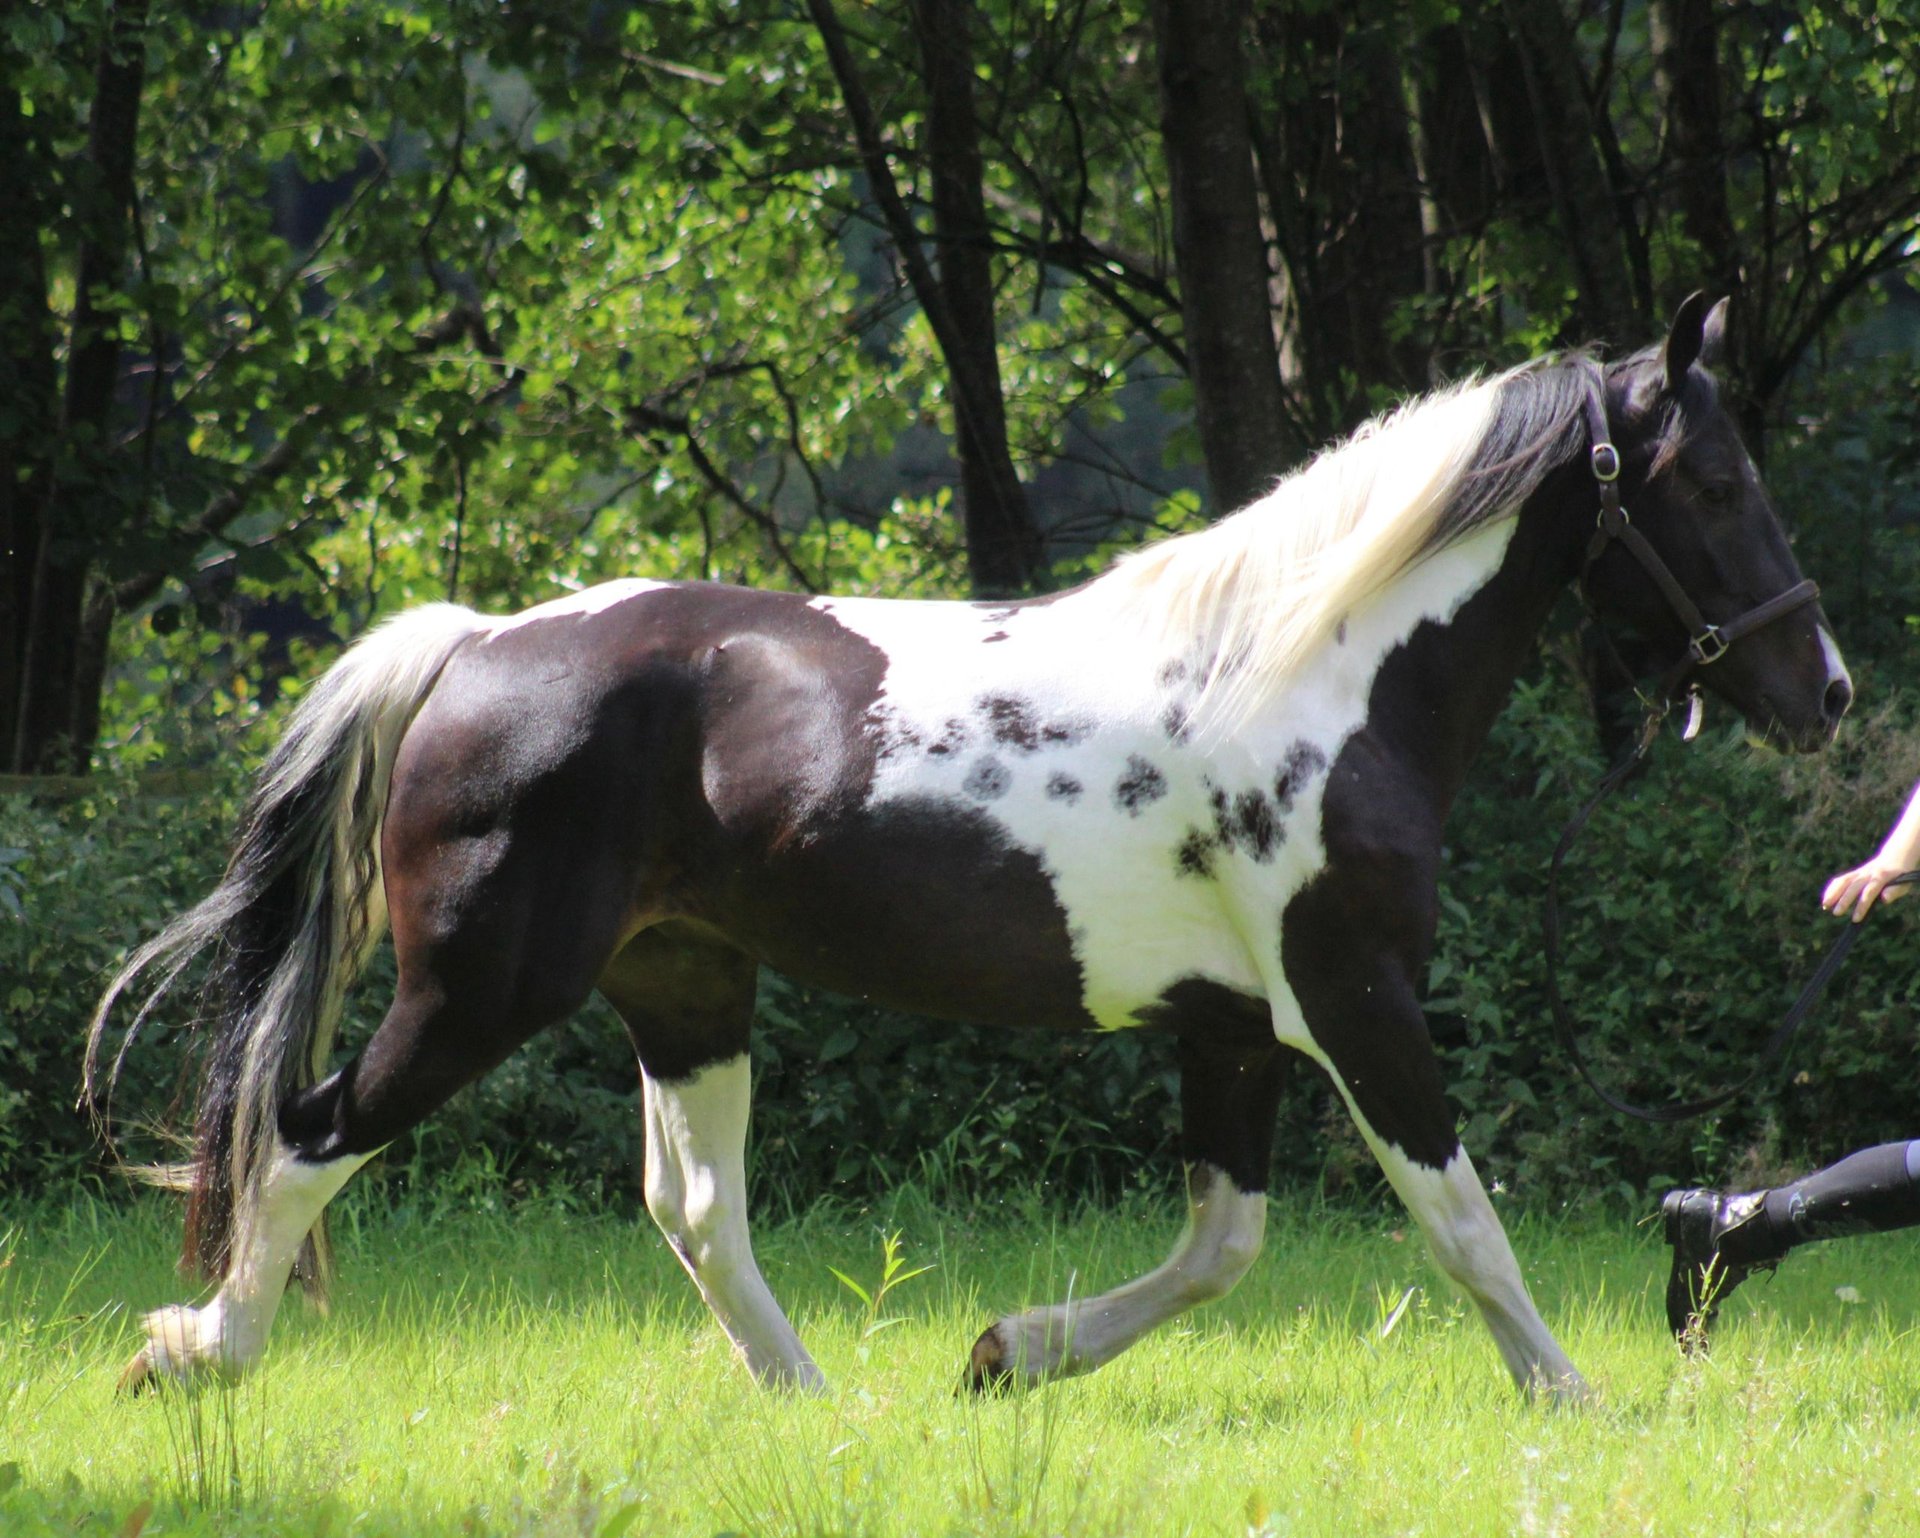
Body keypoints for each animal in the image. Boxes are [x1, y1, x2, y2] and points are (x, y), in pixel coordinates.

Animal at [88, 295, 1850, 1402]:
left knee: (695, 1204)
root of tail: (476, 643)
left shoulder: (1236, 1032)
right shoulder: (1354, 1004)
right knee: (310, 1134)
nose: (1823, 688)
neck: (1313, 682)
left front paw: (1009, 1351)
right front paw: (1576, 1396)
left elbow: (1224, 1243)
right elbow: (1460, 1215)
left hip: (683, 985)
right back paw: (193, 1352)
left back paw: (815, 1402)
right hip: (479, 987)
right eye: (1711, 476)